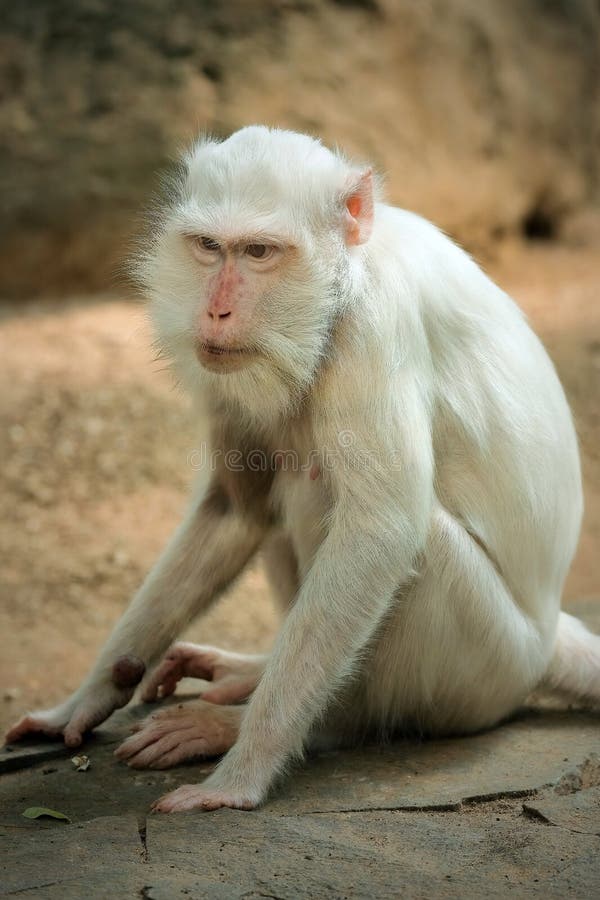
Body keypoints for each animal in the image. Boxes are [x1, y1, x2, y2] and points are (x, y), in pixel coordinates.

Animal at [7, 126, 600, 814]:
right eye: (209, 247)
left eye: (260, 252)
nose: (216, 313)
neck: (340, 283)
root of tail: (547, 637)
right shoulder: (228, 365)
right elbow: (234, 508)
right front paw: (87, 698)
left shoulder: (374, 328)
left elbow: (380, 531)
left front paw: (241, 773)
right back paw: (251, 674)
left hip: (486, 668)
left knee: (353, 508)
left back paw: (308, 724)